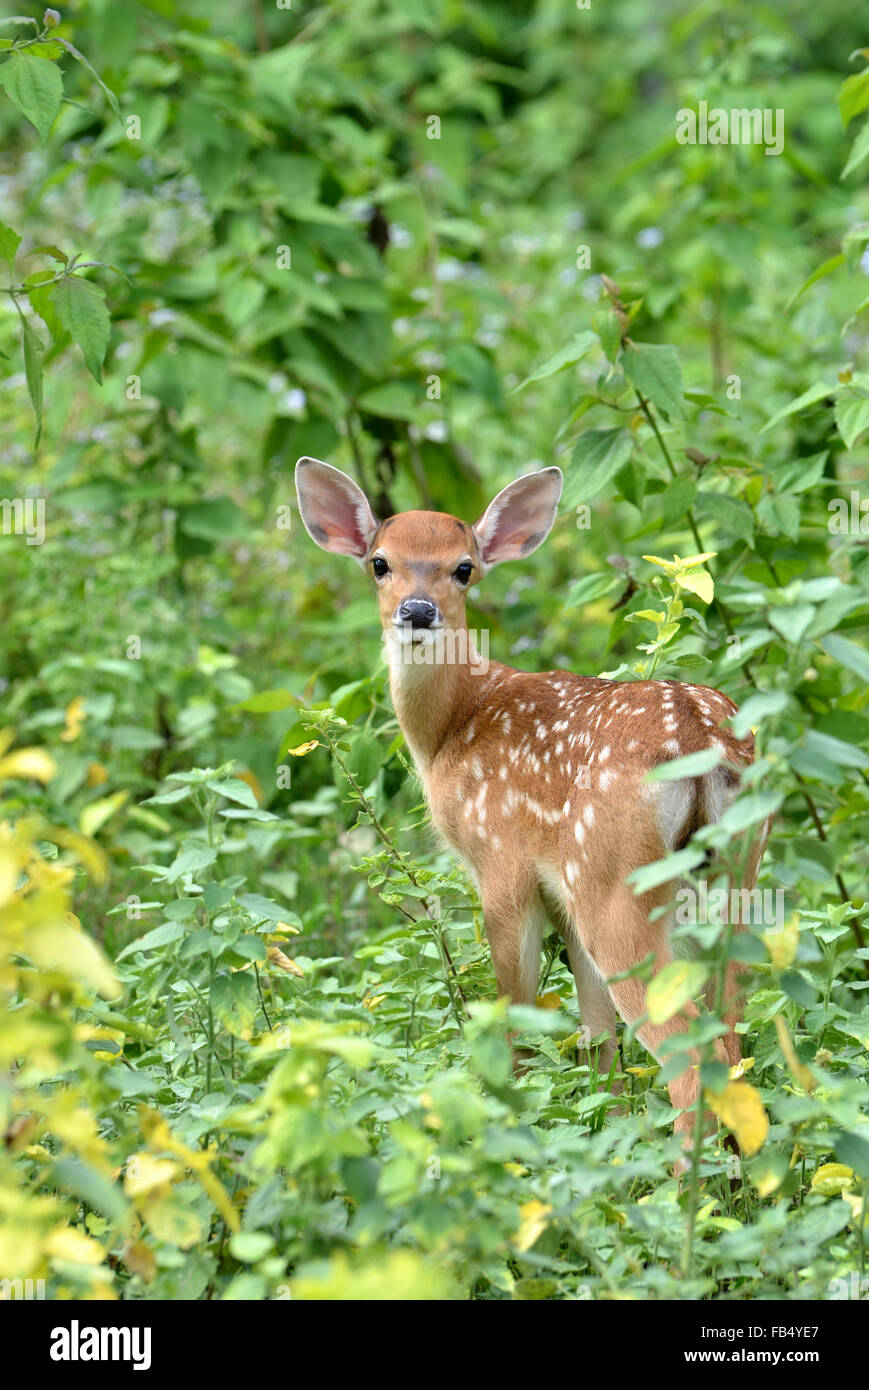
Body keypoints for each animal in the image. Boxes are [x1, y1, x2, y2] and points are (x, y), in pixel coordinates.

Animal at [295, 456, 771, 1167]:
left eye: (464, 567)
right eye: (380, 562)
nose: (417, 610)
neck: (453, 726)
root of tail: (696, 735)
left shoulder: (502, 863)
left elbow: (512, 1021)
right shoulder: (561, 891)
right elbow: (598, 1037)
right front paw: (602, 1127)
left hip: (616, 882)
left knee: (690, 1056)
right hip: (730, 878)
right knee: (734, 1037)